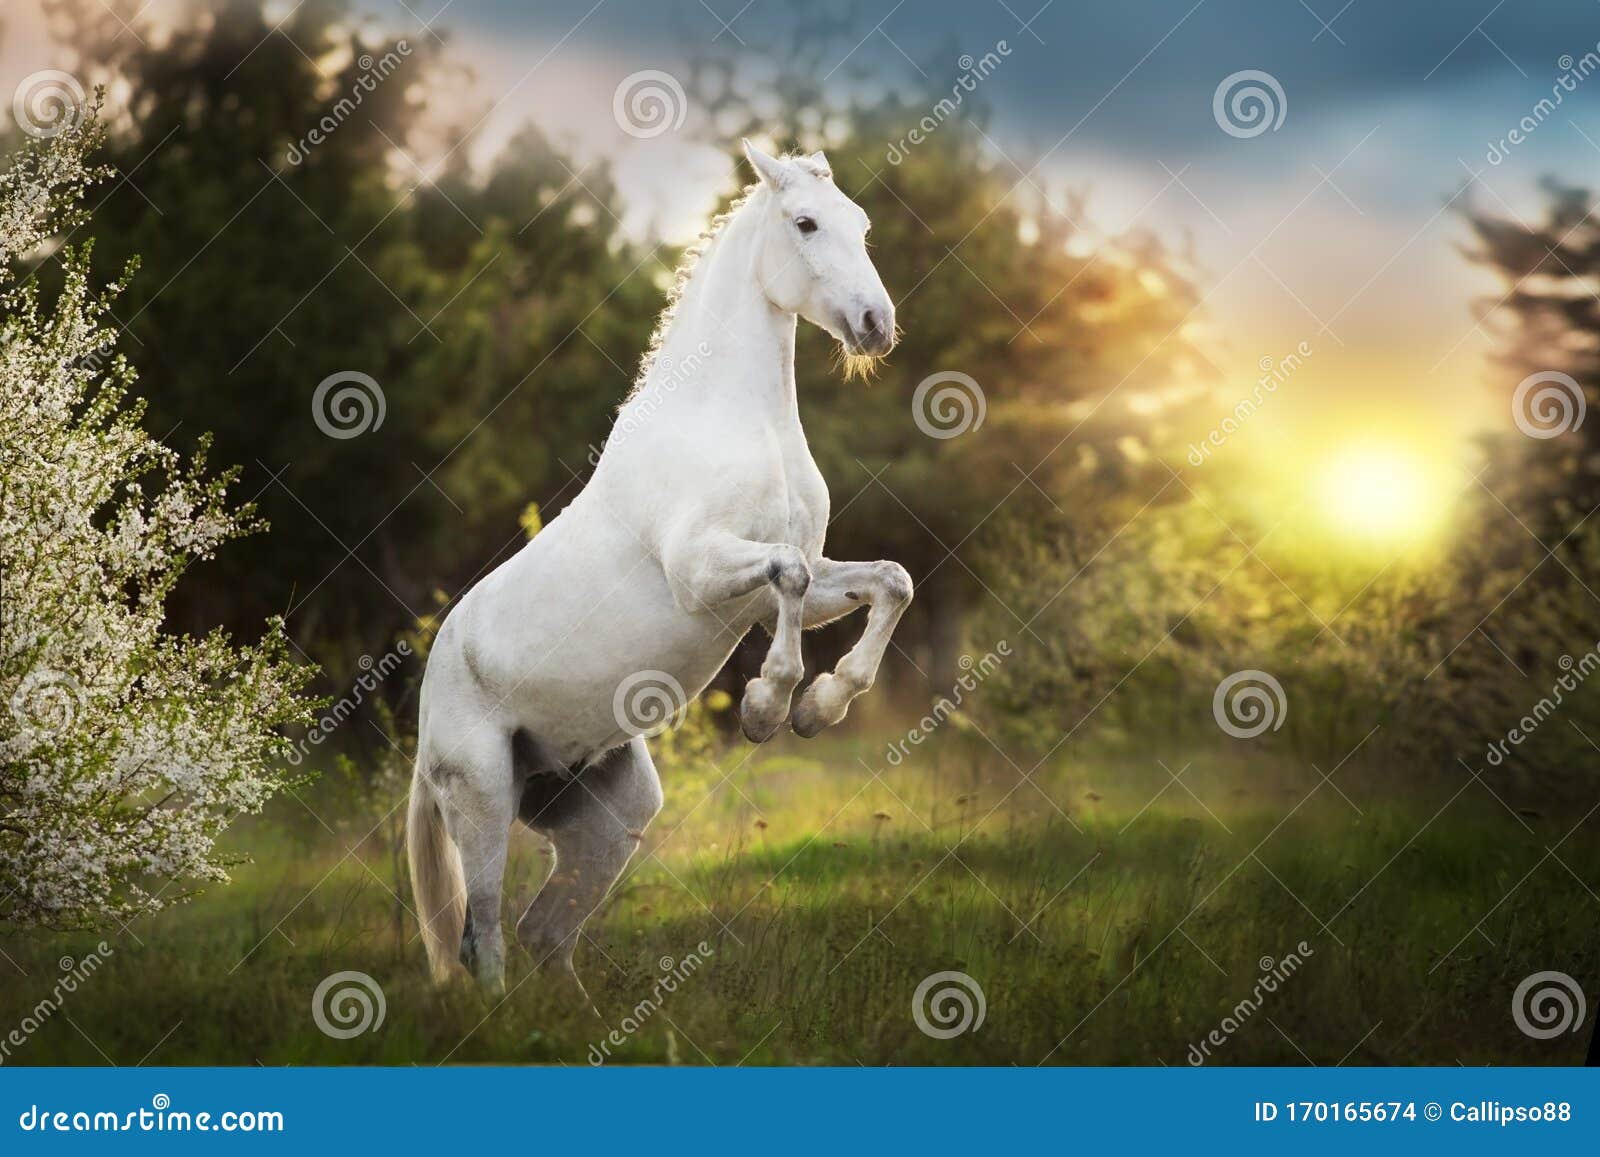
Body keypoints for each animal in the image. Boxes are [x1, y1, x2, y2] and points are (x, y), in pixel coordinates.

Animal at [406, 140, 913, 996]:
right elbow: (788, 575)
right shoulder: (701, 574)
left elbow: (887, 581)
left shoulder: (789, 584)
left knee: (546, 929)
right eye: (805, 223)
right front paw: (768, 707)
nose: (877, 326)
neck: (732, 420)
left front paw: (821, 707)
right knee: (485, 937)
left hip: (613, 814)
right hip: (480, 798)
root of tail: (424, 716)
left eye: (863, 224)